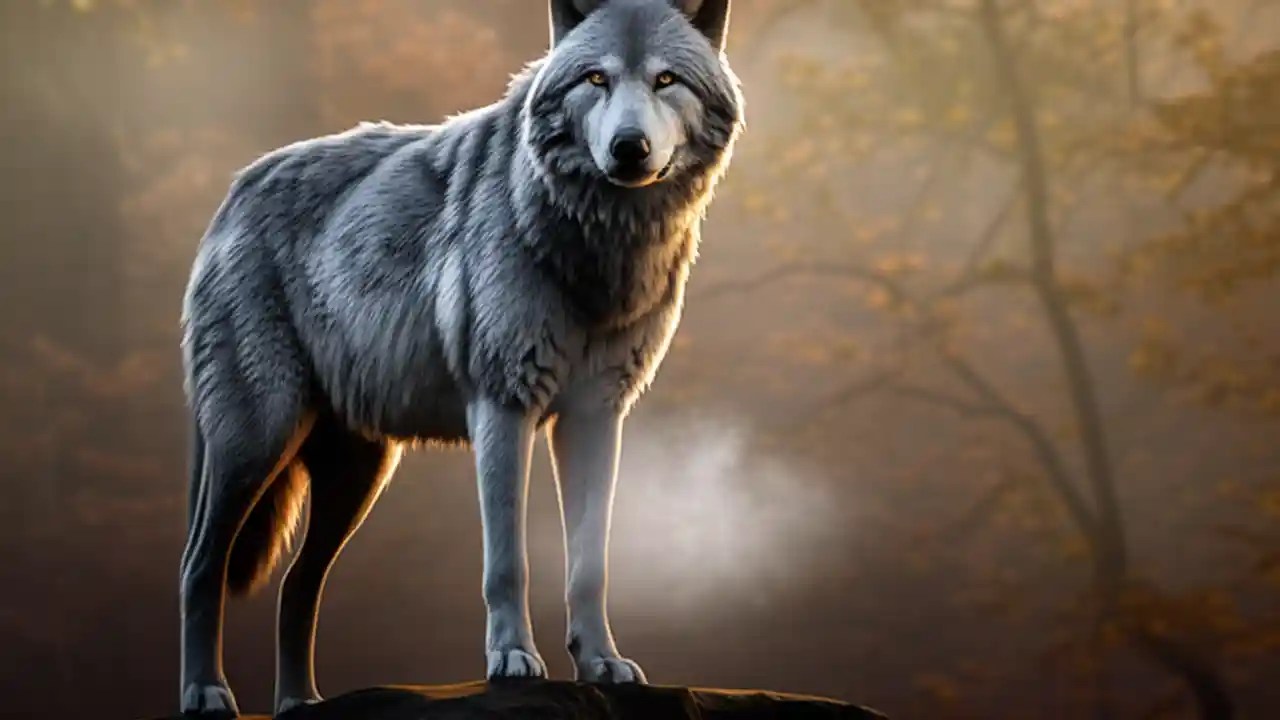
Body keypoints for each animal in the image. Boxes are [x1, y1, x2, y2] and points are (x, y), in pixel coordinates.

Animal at [177, 0, 743, 715]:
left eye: (666, 80)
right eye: (596, 78)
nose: (628, 147)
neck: (596, 243)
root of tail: (234, 192)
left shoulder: (595, 417)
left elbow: (590, 565)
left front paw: (601, 662)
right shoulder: (503, 405)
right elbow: (507, 561)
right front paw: (512, 659)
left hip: (356, 477)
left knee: (297, 587)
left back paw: (301, 704)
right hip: (256, 440)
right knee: (199, 565)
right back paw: (205, 692)